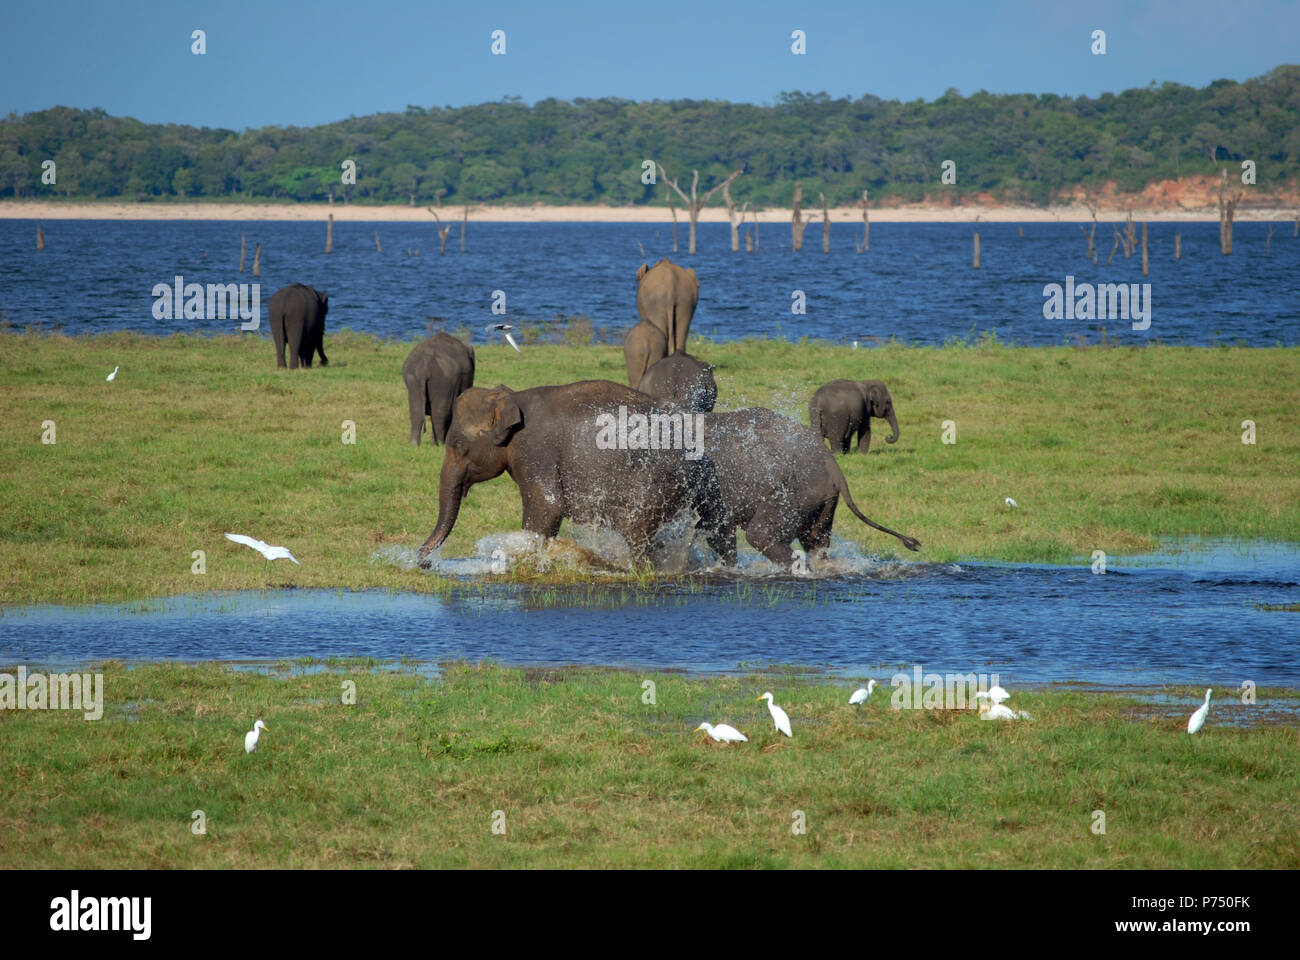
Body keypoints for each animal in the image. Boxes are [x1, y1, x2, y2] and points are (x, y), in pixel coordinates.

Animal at [416, 380, 733, 566]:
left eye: (458, 445)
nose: (422, 561)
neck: (511, 398)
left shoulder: (535, 451)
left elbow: (548, 507)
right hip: (705, 486)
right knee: (716, 526)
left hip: (654, 484)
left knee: (636, 531)